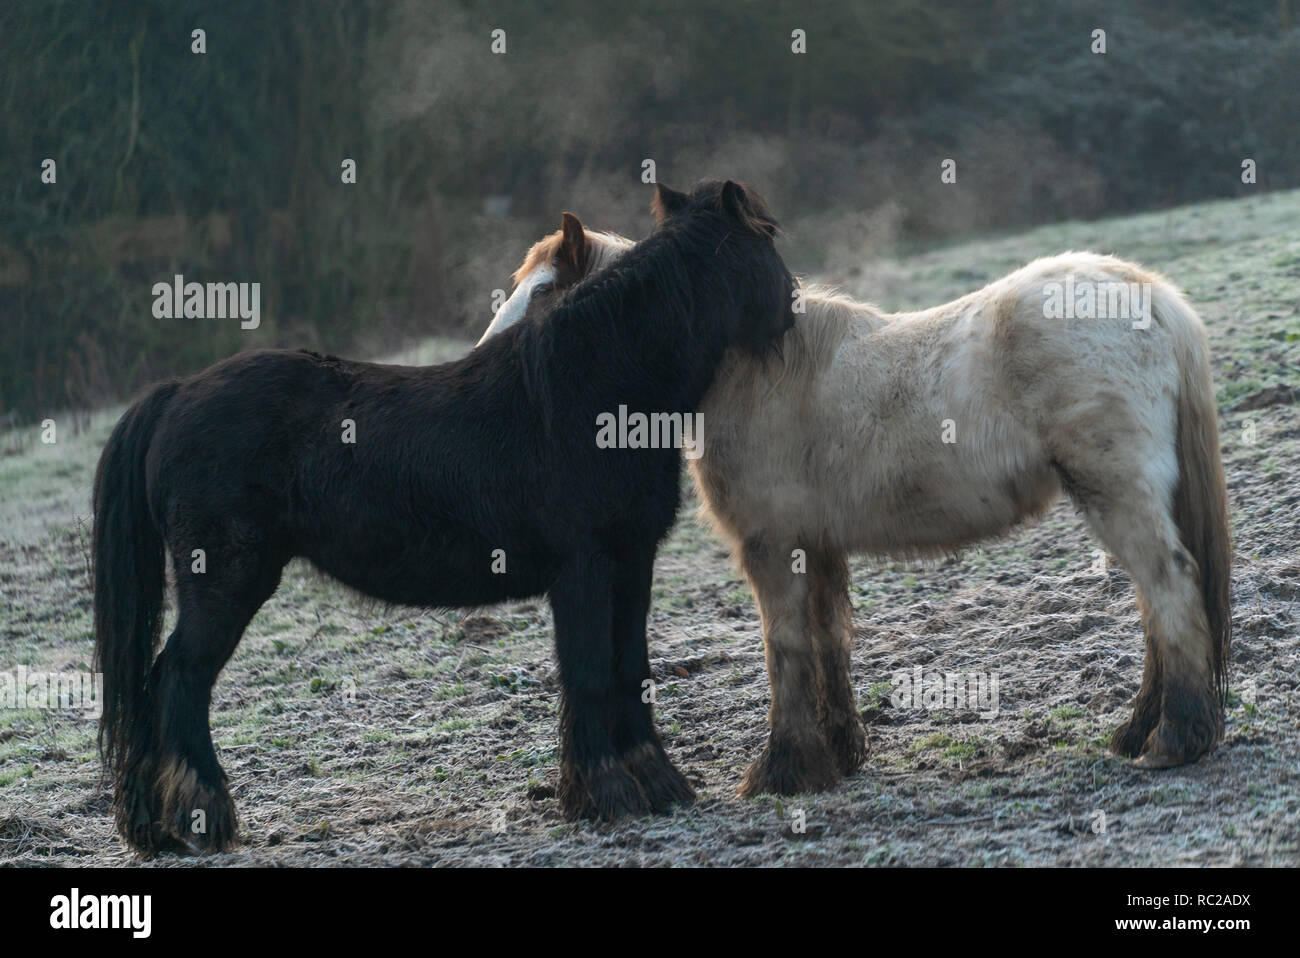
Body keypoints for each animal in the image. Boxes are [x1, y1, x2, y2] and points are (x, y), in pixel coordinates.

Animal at [92, 180, 796, 854]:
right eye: (768, 238)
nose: (794, 309)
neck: (593, 388)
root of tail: (177, 393)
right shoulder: (584, 570)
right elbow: (590, 672)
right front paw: (607, 795)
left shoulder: (632, 563)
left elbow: (630, 668)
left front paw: (655, 784)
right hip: (226, 582)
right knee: (180, 680)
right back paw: (201, 820)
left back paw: (156, 828)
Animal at [480, 216, 1232, 798]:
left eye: (544, 294)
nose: (490, 373)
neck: (747, 370)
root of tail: (1148, 294)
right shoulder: (815, 545)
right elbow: (827, 642)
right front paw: (835, 758)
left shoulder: (771, 546)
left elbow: (785, 649)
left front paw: (782, 771)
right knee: (1156, 605)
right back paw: (1140, 730)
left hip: (1118, 494)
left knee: (1169, 589)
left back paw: (1174, 739)